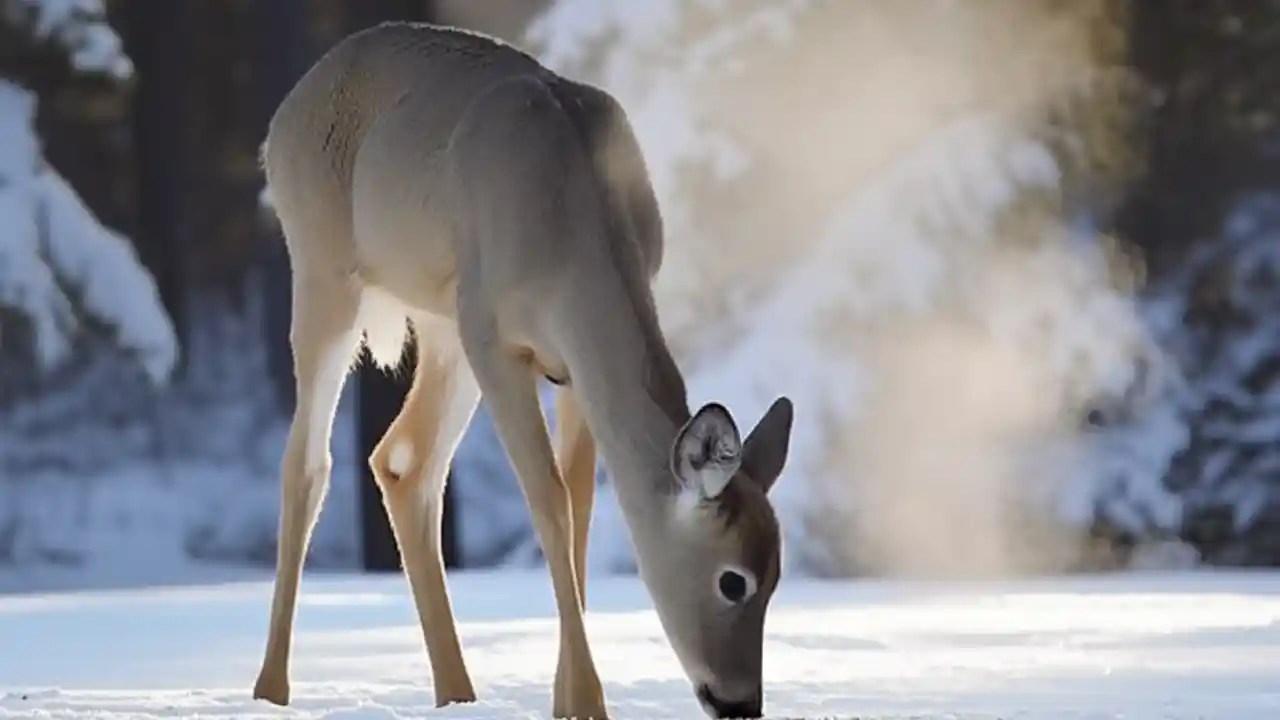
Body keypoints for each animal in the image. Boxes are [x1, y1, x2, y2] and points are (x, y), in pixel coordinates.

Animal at [251, 21, 795, 720]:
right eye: (733, 581)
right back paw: (271, 690)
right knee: (308, 462)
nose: (740, 702)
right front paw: (586, 700)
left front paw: (566, 700)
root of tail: (284, 114)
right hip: (327, 271)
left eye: (777, 576)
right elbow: (550, 501)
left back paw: (456, 691)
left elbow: (581, 502)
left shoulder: (572, 366)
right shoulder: (495, 337)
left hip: (440, 319)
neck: (573, 239)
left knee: (404, 460)